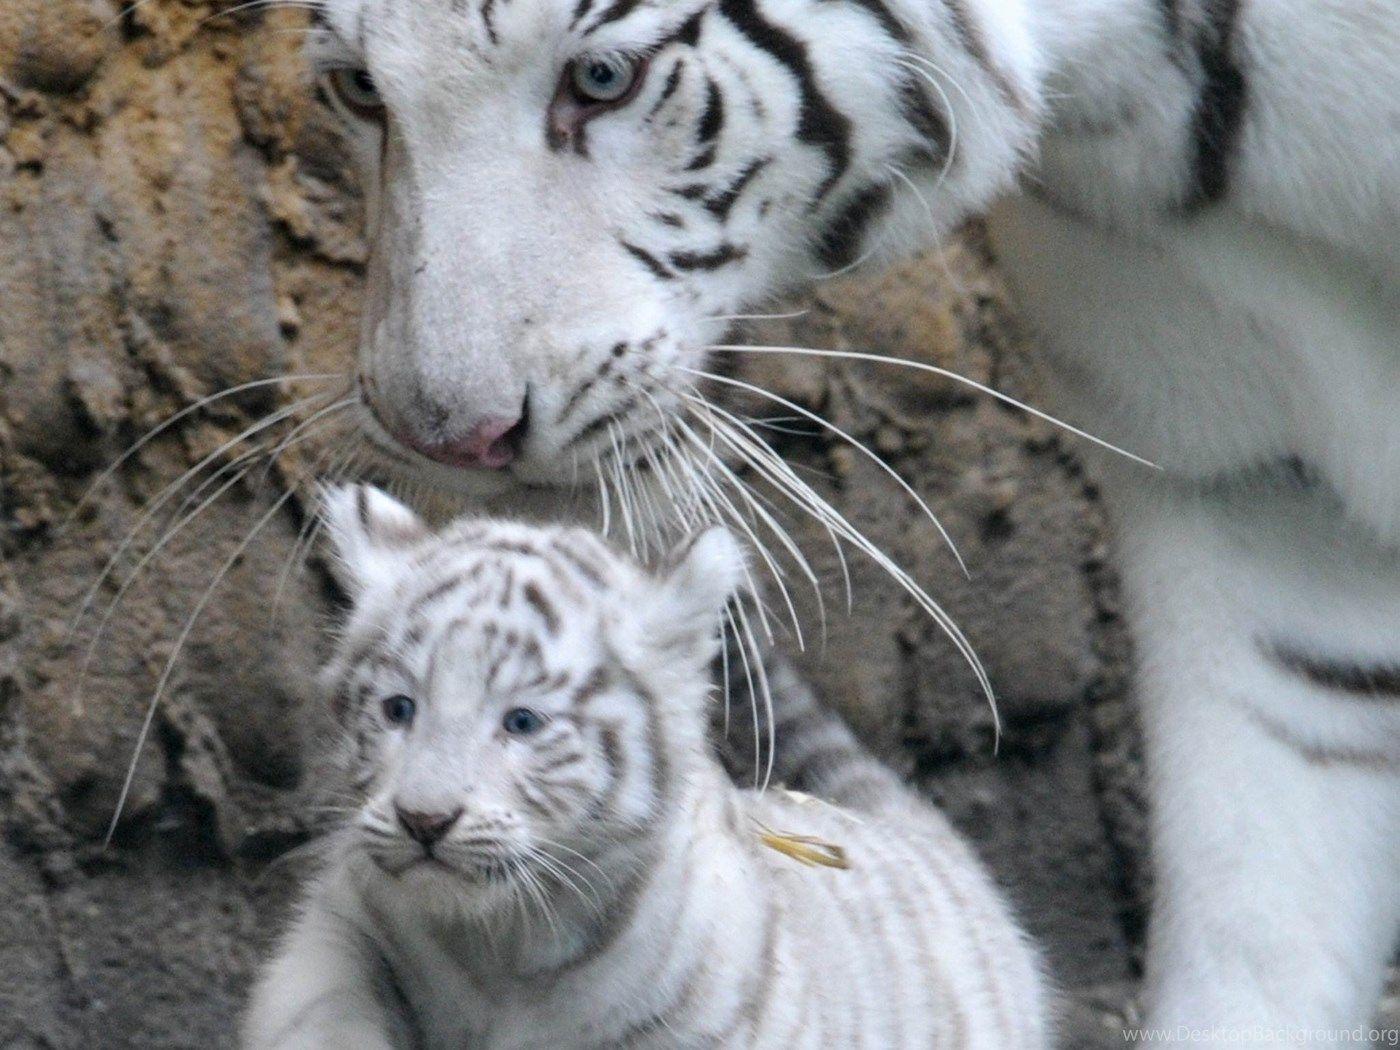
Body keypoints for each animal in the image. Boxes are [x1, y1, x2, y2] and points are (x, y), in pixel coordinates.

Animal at [241, 484, 1049, 1049]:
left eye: (522, 721)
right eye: (399, 708)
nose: (423, 820)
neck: (500, 950)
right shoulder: (346, 931)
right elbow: (322, 1007)